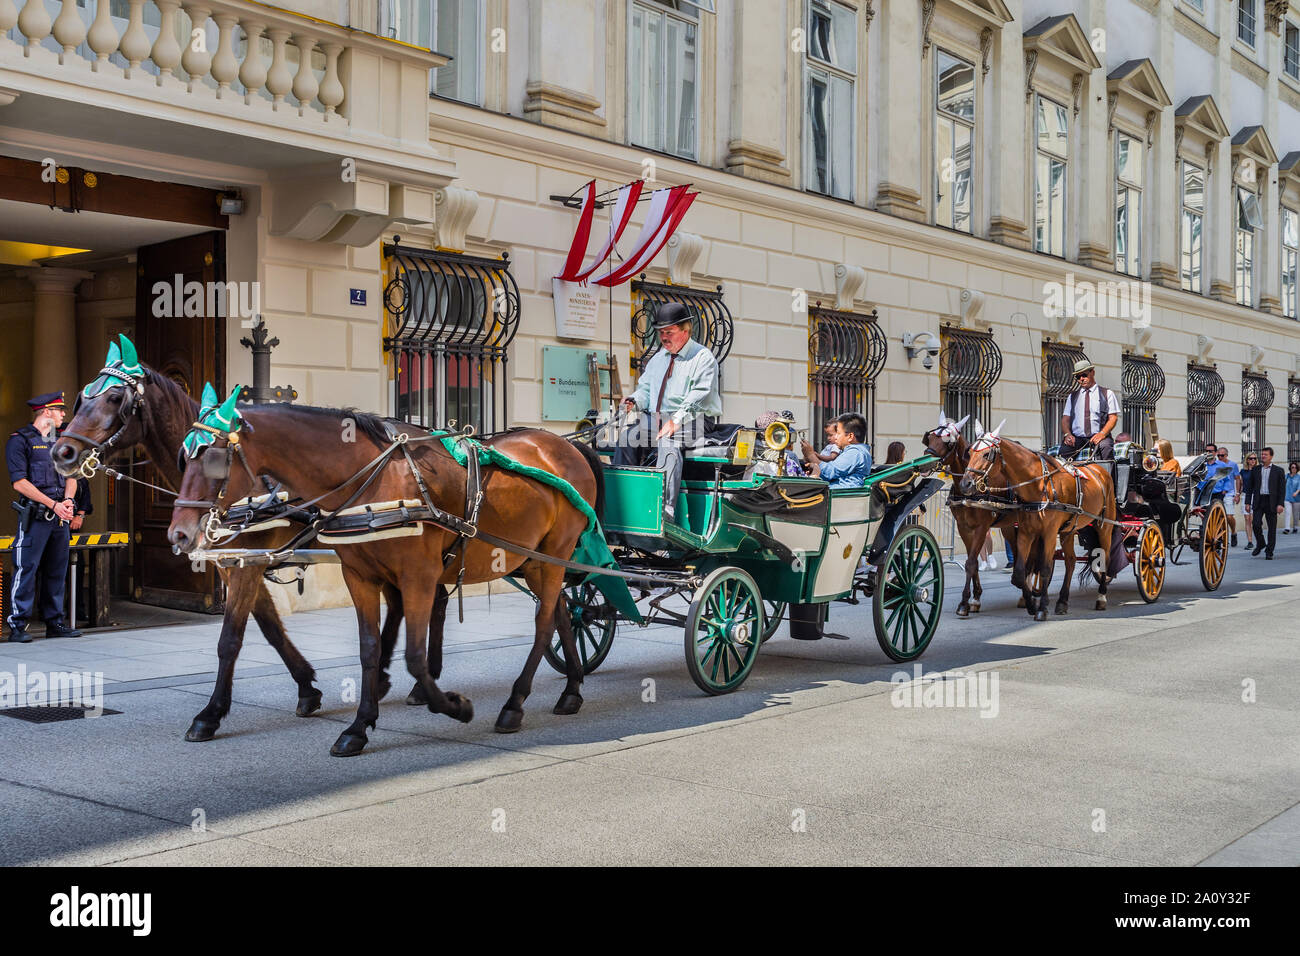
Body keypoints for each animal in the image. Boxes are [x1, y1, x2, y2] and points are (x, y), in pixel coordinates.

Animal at [49, 356, 410, 743]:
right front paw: (306, 687)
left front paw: (211, 714)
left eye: (116, 398)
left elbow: (230, 639)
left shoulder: (246, 566)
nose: (62, 452)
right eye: (83, 396)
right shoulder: (234, 564)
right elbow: (270, 627)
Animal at [166, 403, 603, 754]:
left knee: (544, 623)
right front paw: (358, 725)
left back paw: (515, 704)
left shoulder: (418, 576)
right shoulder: (357, 575)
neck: (374, 481)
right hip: (532, 560)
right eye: (182, 458)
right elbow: (369, 649)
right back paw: (572, 689)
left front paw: (455, 706)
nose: (179, 534)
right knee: (562, 613)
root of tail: (565, 445)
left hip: (552, 556)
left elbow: (414, 655)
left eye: (213, 459)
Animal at [920, 416, 1019, 616]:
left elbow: (972, 562)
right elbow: (970, 562)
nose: (925, 464)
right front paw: (975, 598)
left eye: (947, 442)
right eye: (930, 438)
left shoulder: (981, 528)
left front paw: (964, 603)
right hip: (1008, 526)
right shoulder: (964, 527)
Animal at [956, 424, 1118, 621]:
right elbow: (1019, 573)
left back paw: (1101, 596)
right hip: (1069, 530)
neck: (1039, 485)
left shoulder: (1049, 533)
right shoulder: (1026, 532)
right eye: (970, 452)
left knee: (1106, 558)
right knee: (1070, 561)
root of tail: (1099, 469)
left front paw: (1041, 608)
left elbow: (1045, 568)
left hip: (1105, 526)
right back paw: (1062, 602)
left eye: (987, 454)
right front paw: (1032, 604)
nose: (965, 484)